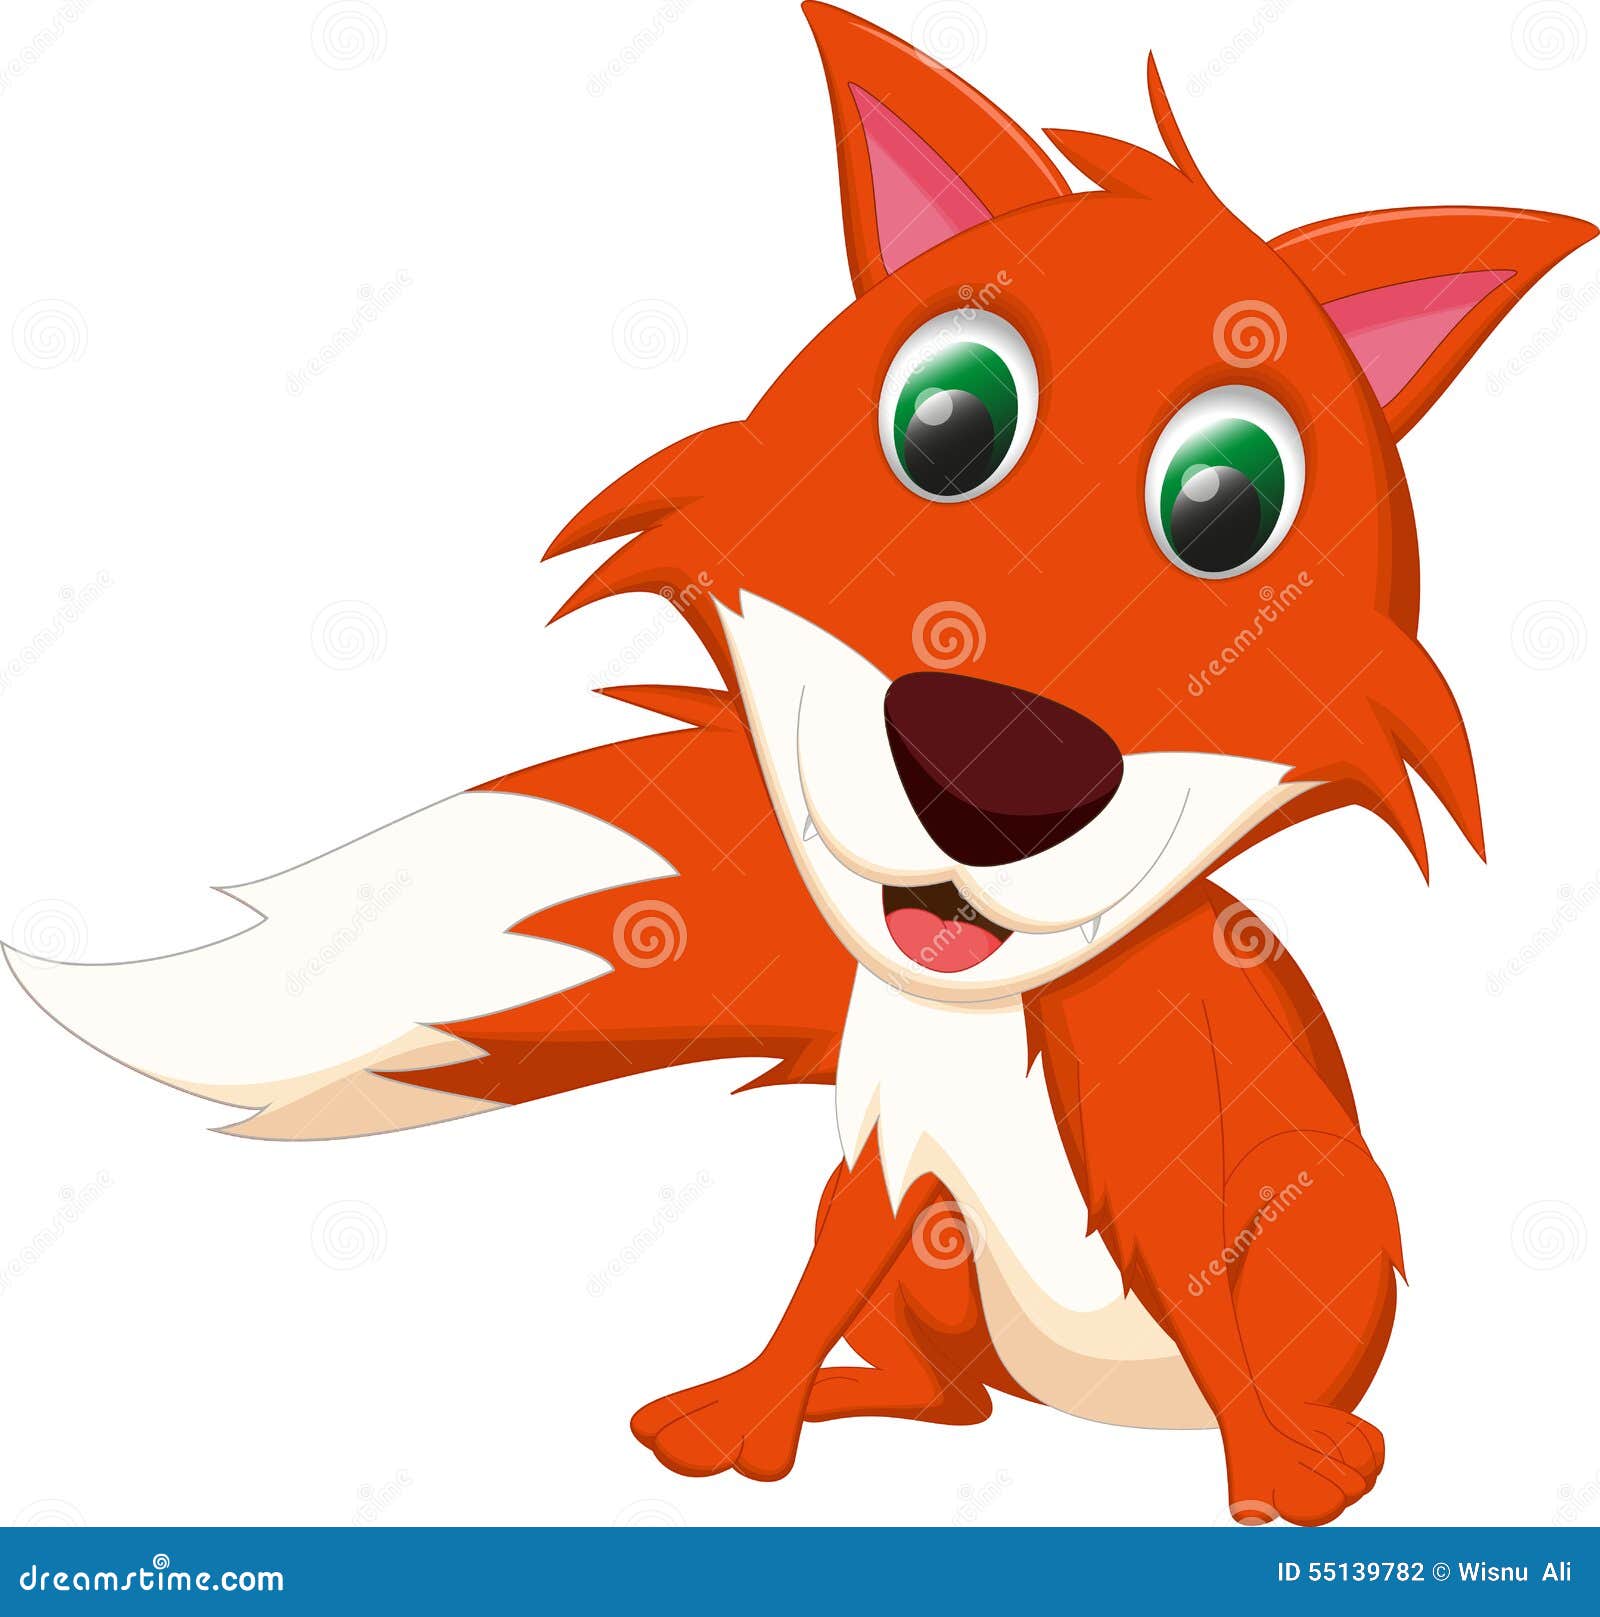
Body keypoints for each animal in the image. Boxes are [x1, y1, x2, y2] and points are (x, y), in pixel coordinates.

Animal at [7, 4, 1593, 1527]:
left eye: (1227, 506)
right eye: (947, 422)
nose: (989, 766)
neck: (983, 1015)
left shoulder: (1173, 1137)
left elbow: (1202, 1288)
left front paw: (1280, 1482)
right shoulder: (890, 1150)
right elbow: (828, 1260)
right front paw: (742, 1424)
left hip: (1318, 1219)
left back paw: (1322, 1440)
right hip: (951, 1289)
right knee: (948, 1401)